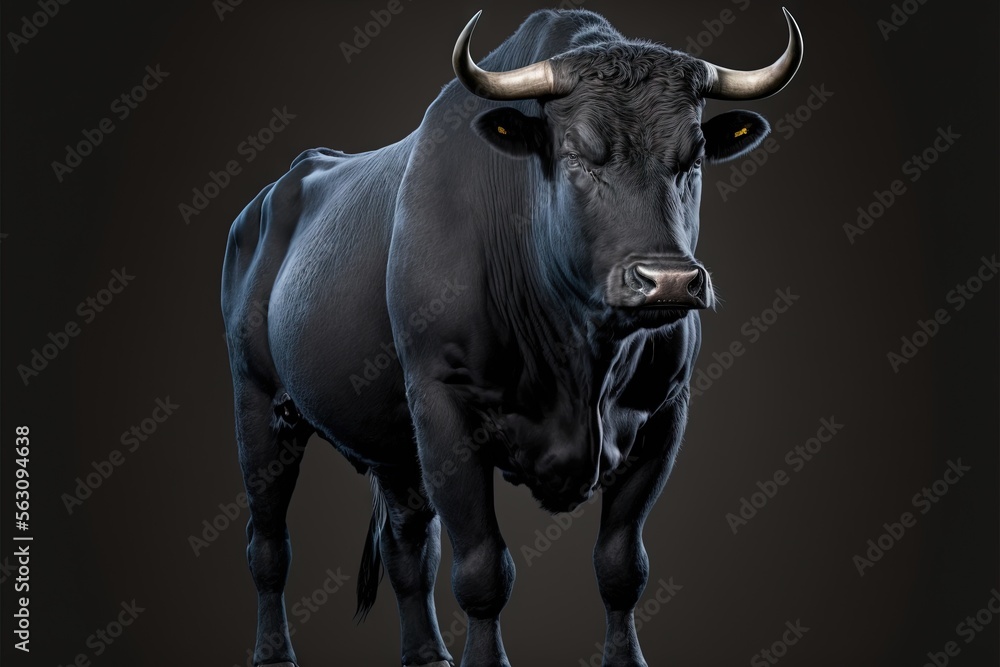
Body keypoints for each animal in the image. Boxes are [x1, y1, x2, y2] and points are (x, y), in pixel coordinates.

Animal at [222, 8, 802, 666]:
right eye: (577, 155)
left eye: (695, 158)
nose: (670, 281)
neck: (582, 363)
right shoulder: (442, 410)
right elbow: (482, 567)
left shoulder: (665, 411)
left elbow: (621, 564)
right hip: (259, 404)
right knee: (268, 540)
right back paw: (274, 652)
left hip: (390, 443)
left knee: (406, 547)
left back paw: (427, 653)